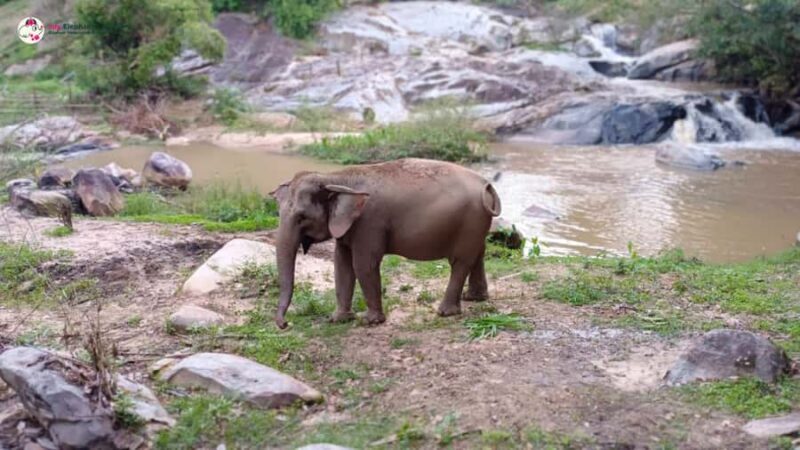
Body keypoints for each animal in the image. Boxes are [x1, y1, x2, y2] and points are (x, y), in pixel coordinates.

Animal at [269, 158, 502, 329]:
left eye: (302, 217)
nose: (285, 324)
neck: (335, 176)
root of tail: (487, 185)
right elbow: (342, 264)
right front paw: (338, 319)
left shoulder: (369, 222)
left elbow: (364, 264)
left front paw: (370, 321)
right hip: (476, 223)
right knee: (478, 253)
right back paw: (474, 298)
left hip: (469, 221)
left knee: (460, 262)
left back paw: (445, 312)